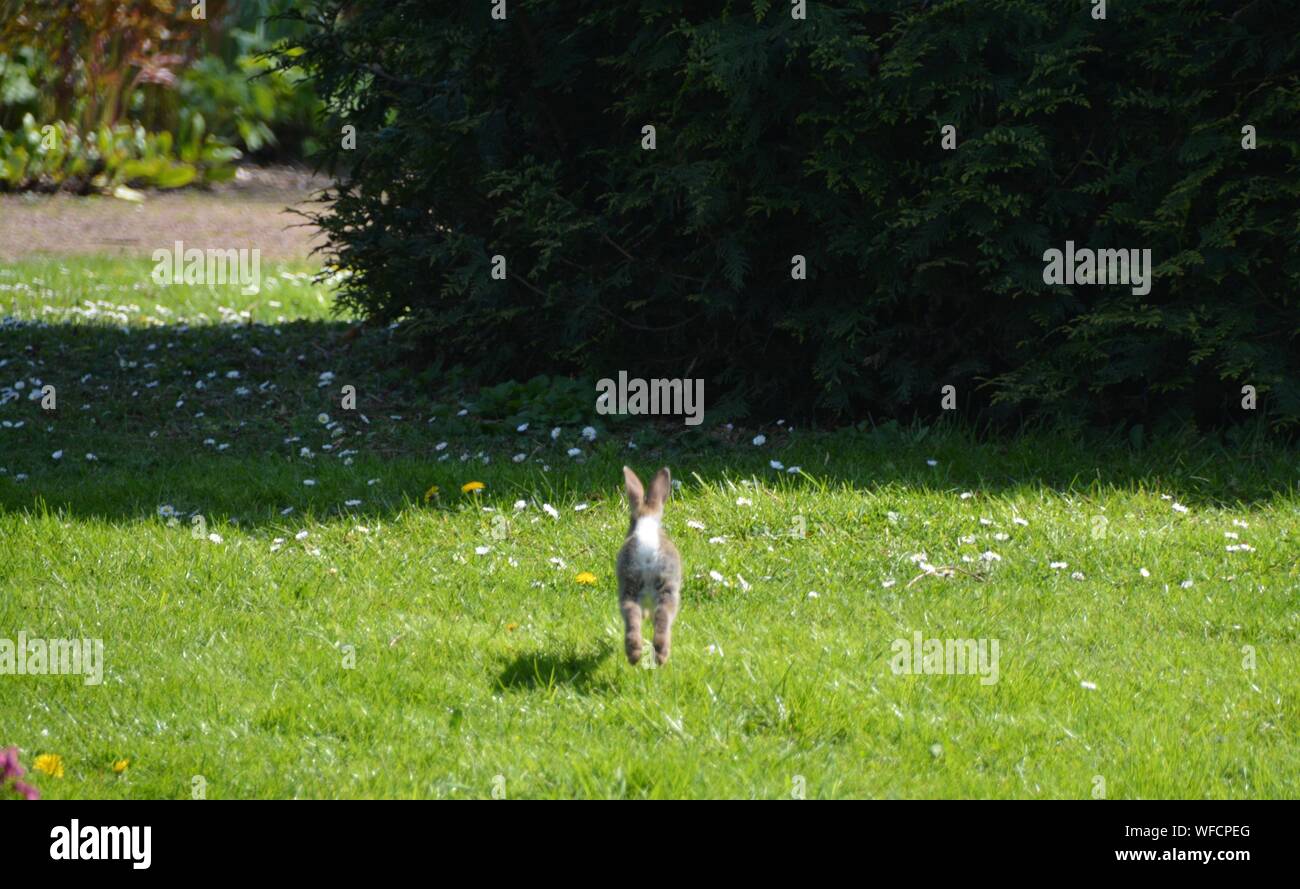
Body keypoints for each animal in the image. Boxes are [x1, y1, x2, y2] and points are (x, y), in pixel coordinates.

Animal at [616, 466, 682, 666]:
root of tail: (647, 550)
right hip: (666, 586)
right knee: (662, 615)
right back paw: (659, 656)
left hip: (631, 582)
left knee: (633, 615)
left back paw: (637, 654)